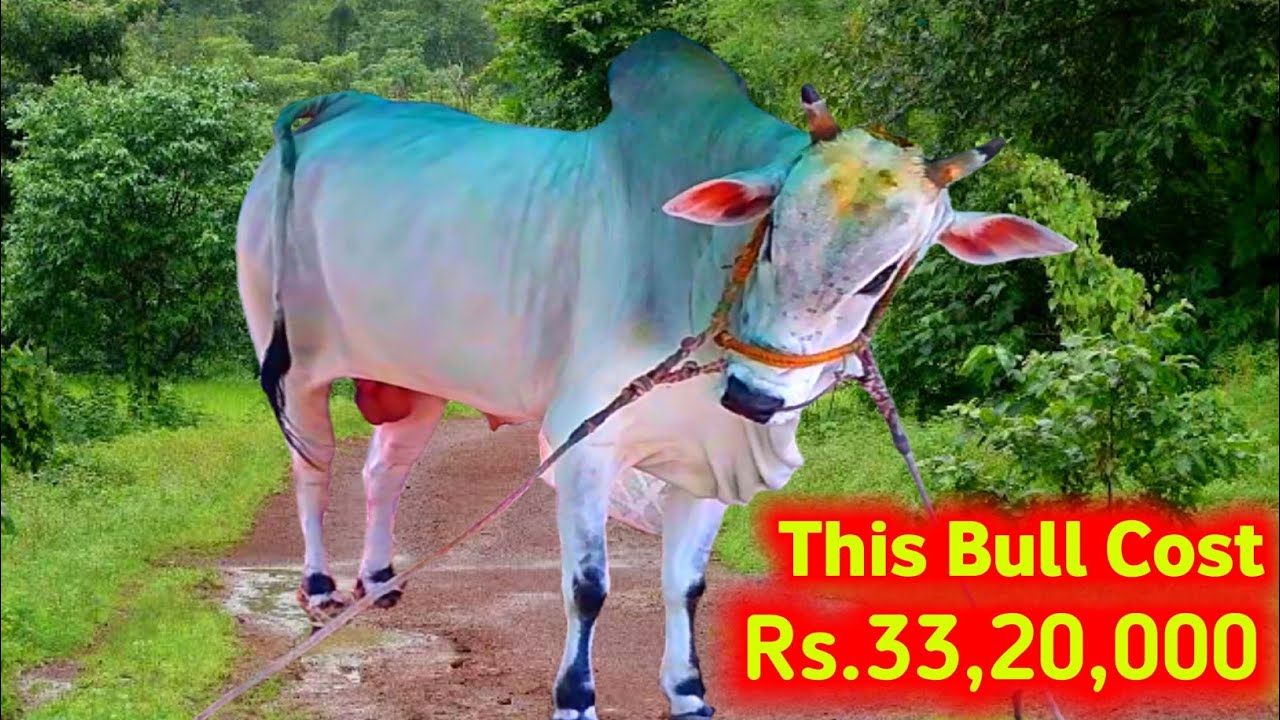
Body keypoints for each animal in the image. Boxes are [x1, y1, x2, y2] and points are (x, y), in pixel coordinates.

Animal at [236, 30, 1075, 720]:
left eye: (883, 274)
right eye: (772, 232)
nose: (756, 394)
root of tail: (333, 107)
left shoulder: (709, 458)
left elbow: (685, 583)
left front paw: (690, 690)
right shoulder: (584, 443)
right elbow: (588, 586)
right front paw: (574, 698)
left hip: (416, 386)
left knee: (383, 469)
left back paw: (379, 580)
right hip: (295, 365)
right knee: (313, 466)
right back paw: (319, 588)